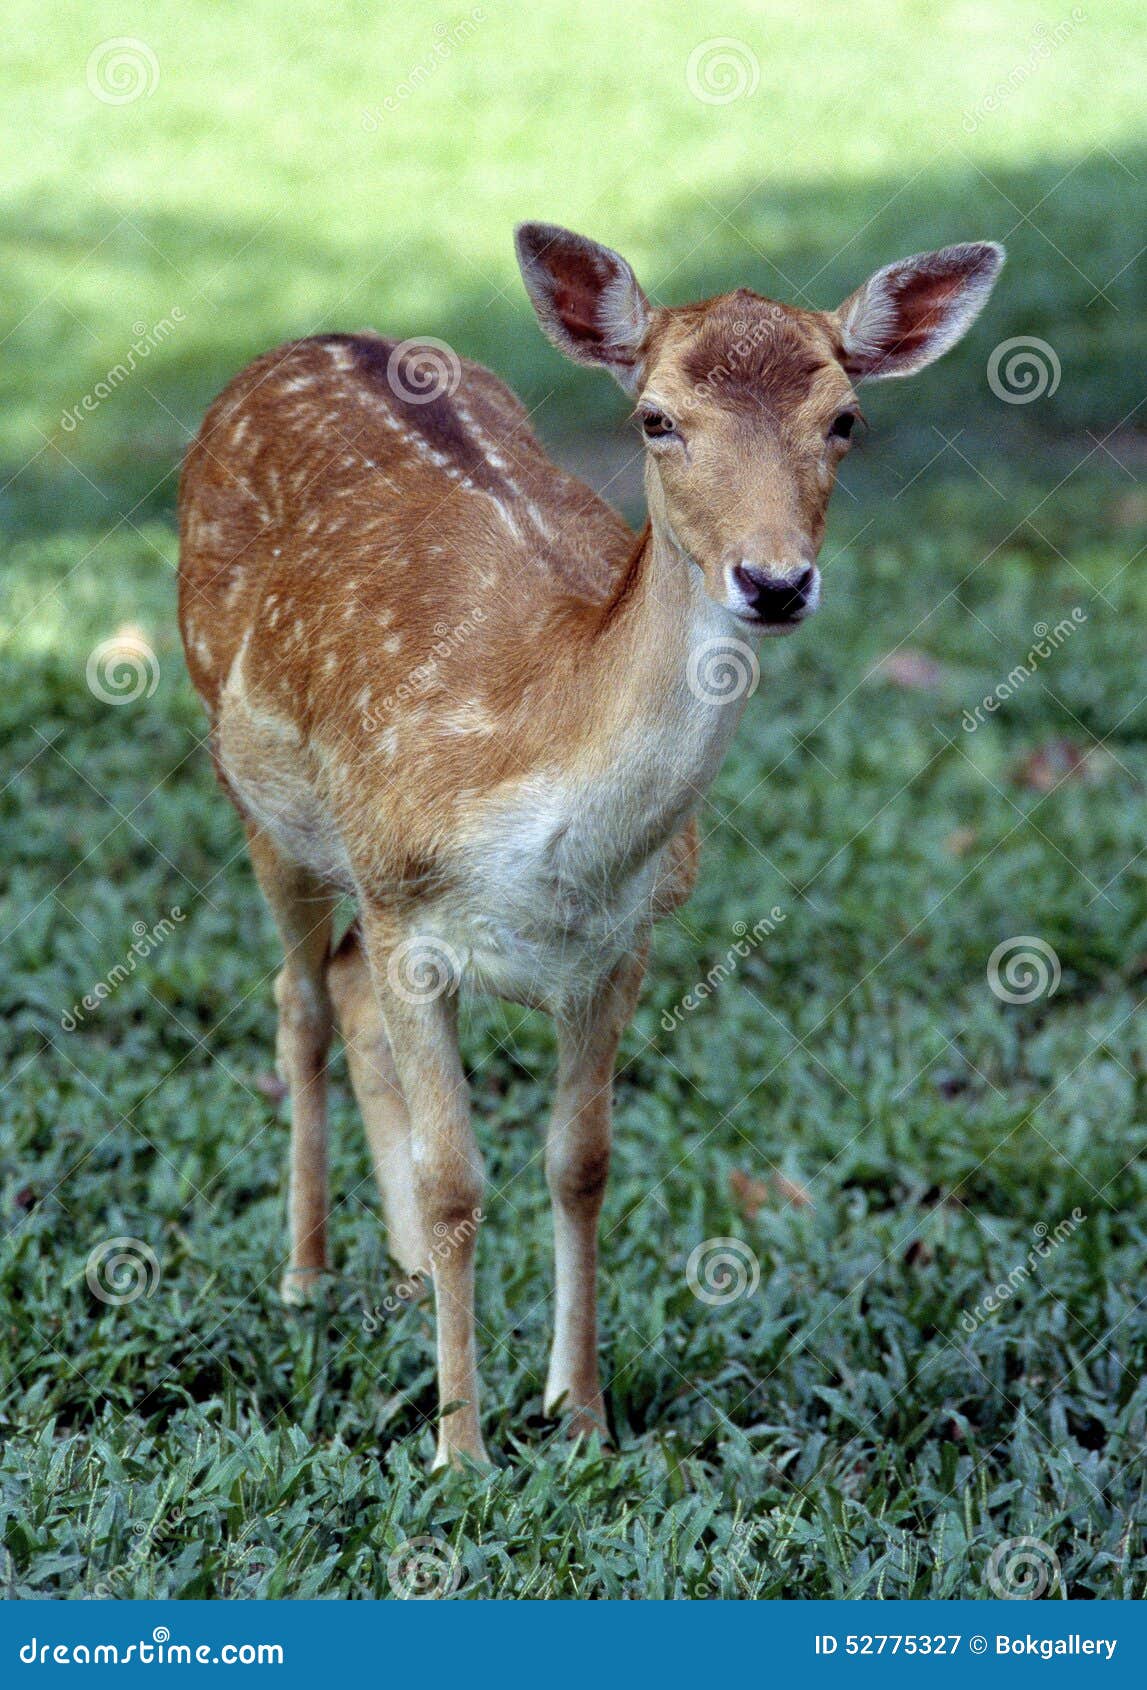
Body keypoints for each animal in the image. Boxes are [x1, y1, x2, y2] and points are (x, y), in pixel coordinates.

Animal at [177, 222, 1003, 1468]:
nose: (772, 580)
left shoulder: (625, 942)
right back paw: (306, 1277)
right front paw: (460, 1449)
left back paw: (404, 1274)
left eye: (845, 419)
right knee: (300, 999)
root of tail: (309, 337)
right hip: (264, 795)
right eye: (655, 418)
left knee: (341, 987)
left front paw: (578, 1413)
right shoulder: (409, 904)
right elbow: (459, 1177)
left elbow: (581, 1163)